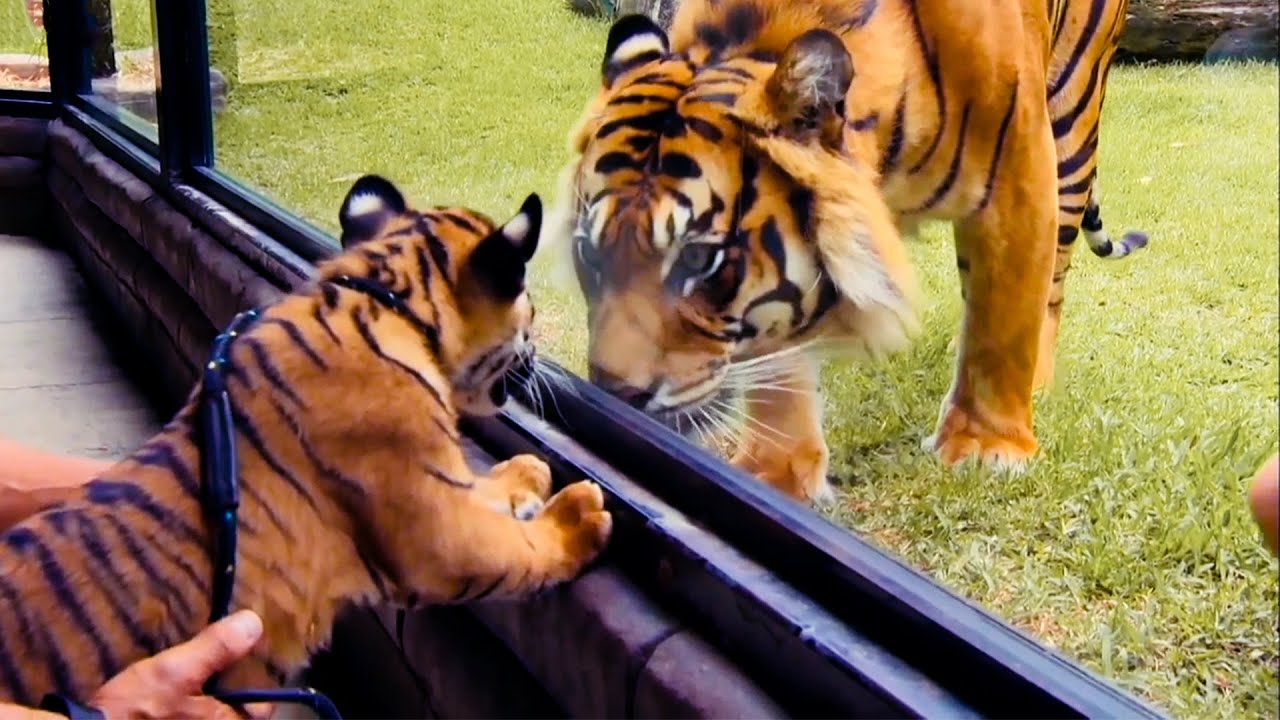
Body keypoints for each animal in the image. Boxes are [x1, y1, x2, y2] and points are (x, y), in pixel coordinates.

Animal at [0, 174, 612, 707]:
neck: (390, 298)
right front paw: (578, 515)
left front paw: (528, 472)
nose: (539, 359)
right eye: (530, 308)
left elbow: (483, 483)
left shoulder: (437, 475)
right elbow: (520, 550)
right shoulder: (437, 530)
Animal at [545, 0, 1148, 503]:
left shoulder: (1019, 174)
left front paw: (986, 448)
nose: (616, 395)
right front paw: (776, 472)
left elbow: (1004, 322)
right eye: (590, 256)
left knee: (1049, 286)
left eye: (698, 260)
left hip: (1072, 126)